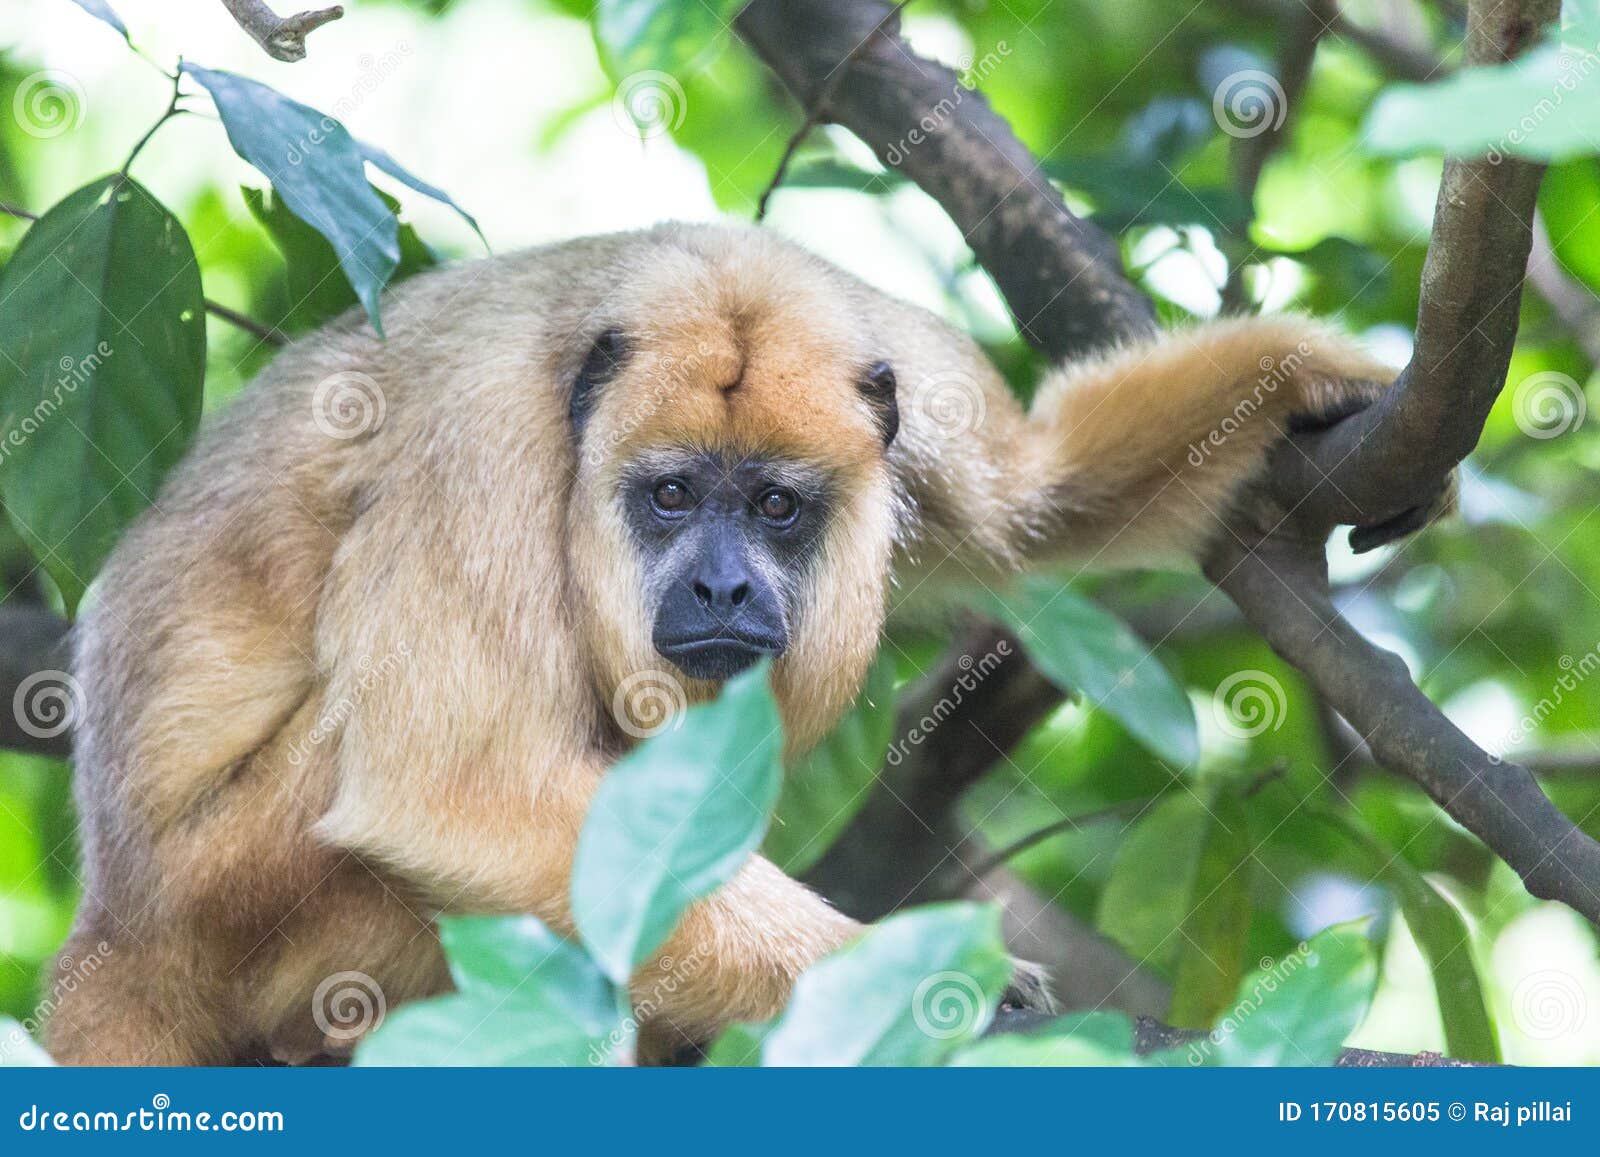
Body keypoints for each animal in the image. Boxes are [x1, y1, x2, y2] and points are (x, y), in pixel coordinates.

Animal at [39, 221, 1442, 1065]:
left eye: (774, 504)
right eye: (668, 495)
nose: (718, 584)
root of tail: (121, 921)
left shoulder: (900, 370)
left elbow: (1041, 493)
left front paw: (1305, 376)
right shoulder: (480, 448)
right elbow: (449, 787)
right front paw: (921, 983)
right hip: (245, 886)